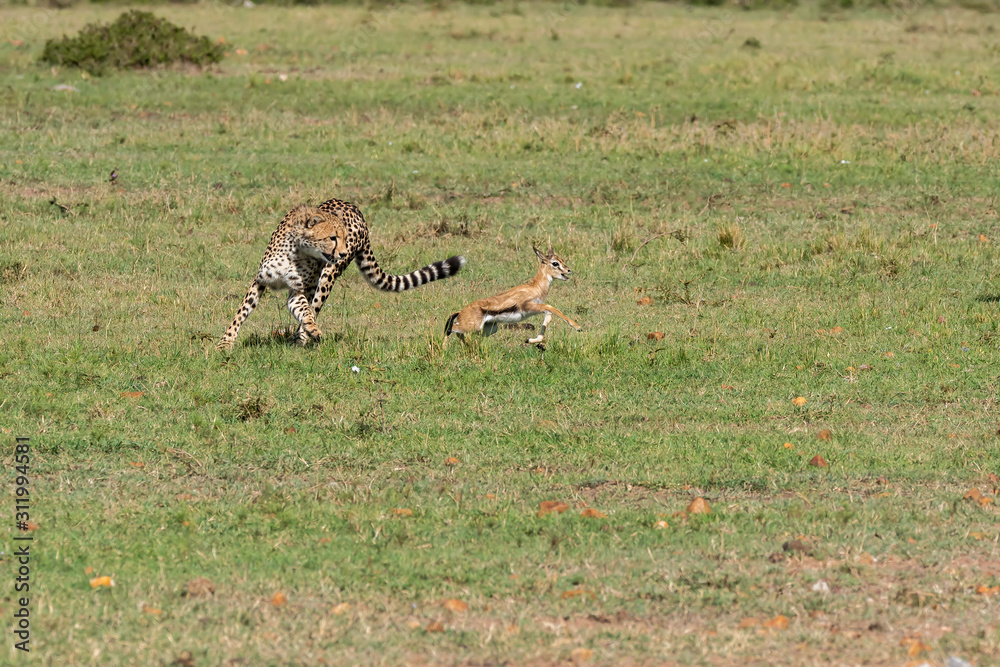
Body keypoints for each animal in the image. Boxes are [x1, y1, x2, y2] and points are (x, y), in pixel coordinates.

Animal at [217, 205, 350, 350]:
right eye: (332, 238)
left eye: (345, 238)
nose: (344, 254)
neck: (298, 250)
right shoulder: (260, 280)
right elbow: (241, 312)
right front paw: (225, 342)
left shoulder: (296, 290)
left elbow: (306, 311)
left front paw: (311, 328)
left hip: (325, 280)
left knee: (314, 307)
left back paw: (300, 339)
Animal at [443, 245, 582, 347]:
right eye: (555, 263)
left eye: (562, 260)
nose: (568, 270)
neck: (535, 287)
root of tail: (461, 311)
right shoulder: (528, 306)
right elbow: (551, 307)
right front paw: (577, 327)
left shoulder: (537, 308)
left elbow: (549, 315)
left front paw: (531, 340)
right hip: (472, 327)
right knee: (449, 329)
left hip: (489, 329)